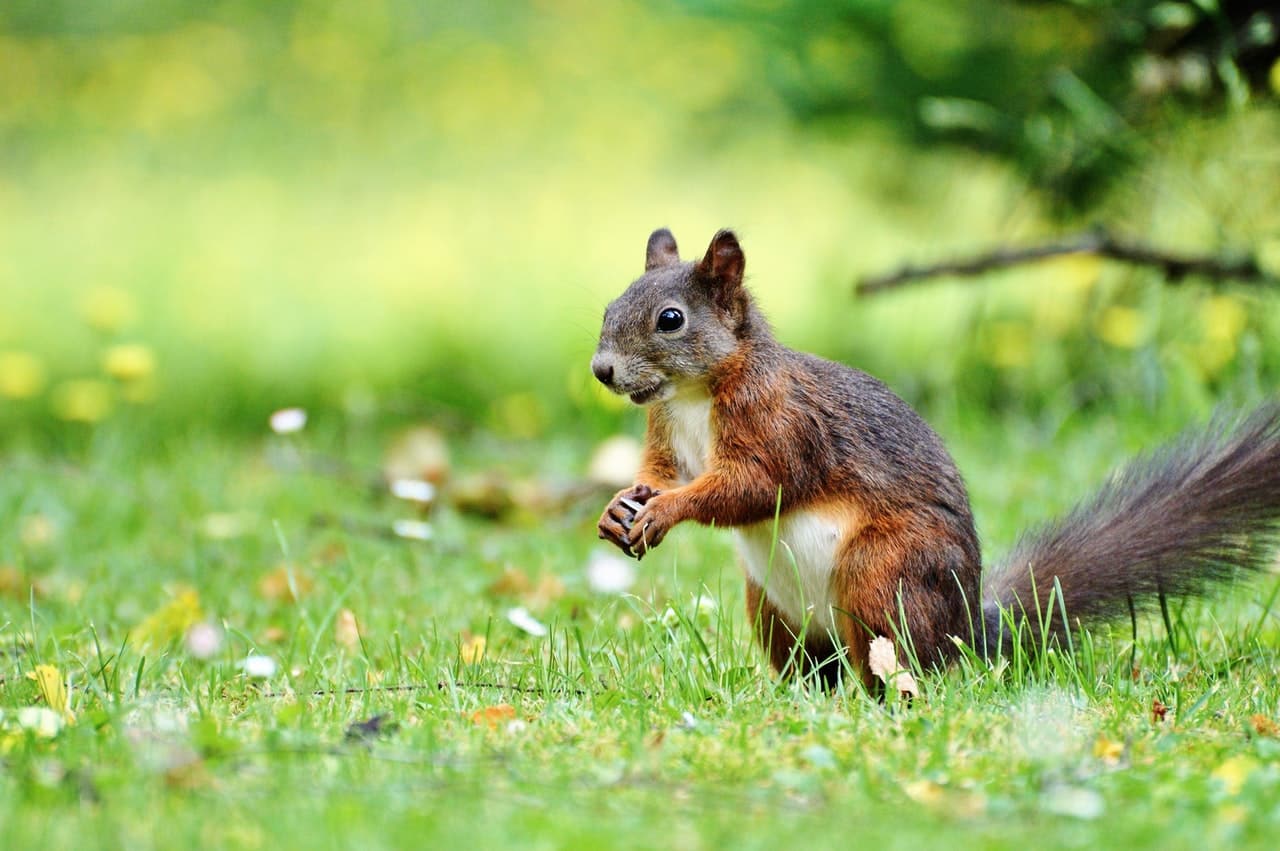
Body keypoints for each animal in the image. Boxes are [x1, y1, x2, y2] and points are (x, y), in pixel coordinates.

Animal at [591, 227, 1280, 689]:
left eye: (671, 319)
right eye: (609, 306)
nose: (602, 371)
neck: (692, 396)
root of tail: (967, 632)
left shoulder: (783, 425)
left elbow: (751, 486)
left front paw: (667, 511)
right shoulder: (666, 434)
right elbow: (659, 472)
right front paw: (619, 507)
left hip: (882, 575)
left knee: (895, 663)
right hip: (772, 608)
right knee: (815, 667)